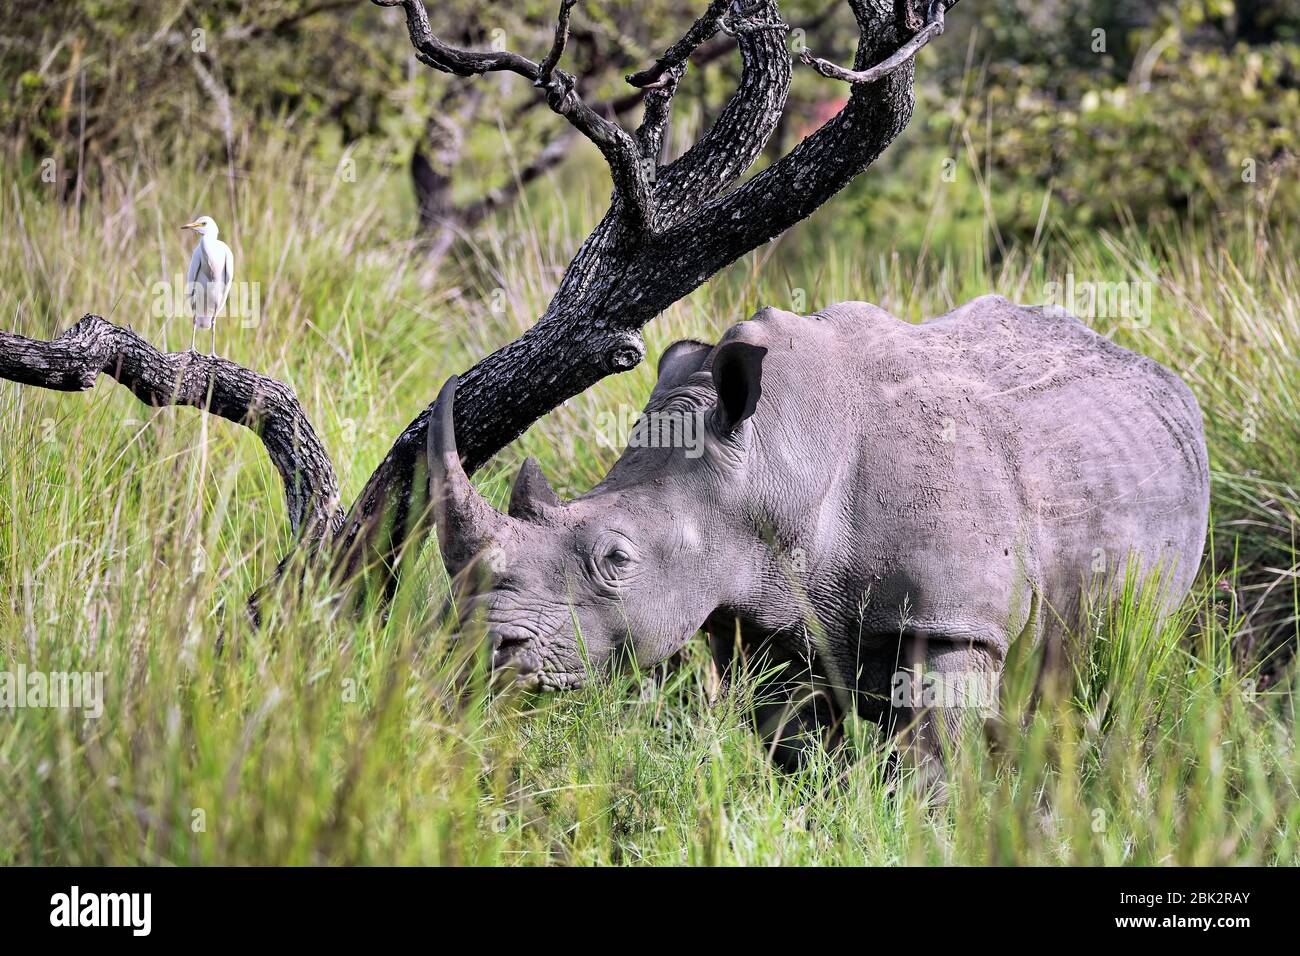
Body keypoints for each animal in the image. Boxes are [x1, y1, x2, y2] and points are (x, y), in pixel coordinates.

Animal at [428, 295, 1210, 777]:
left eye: (616, 559)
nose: (480, 650)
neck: (770, 461)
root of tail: (1160, 371)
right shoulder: (767, 611)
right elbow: (797, 749)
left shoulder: (952, 620)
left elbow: (934, 761)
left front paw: (934, 830)